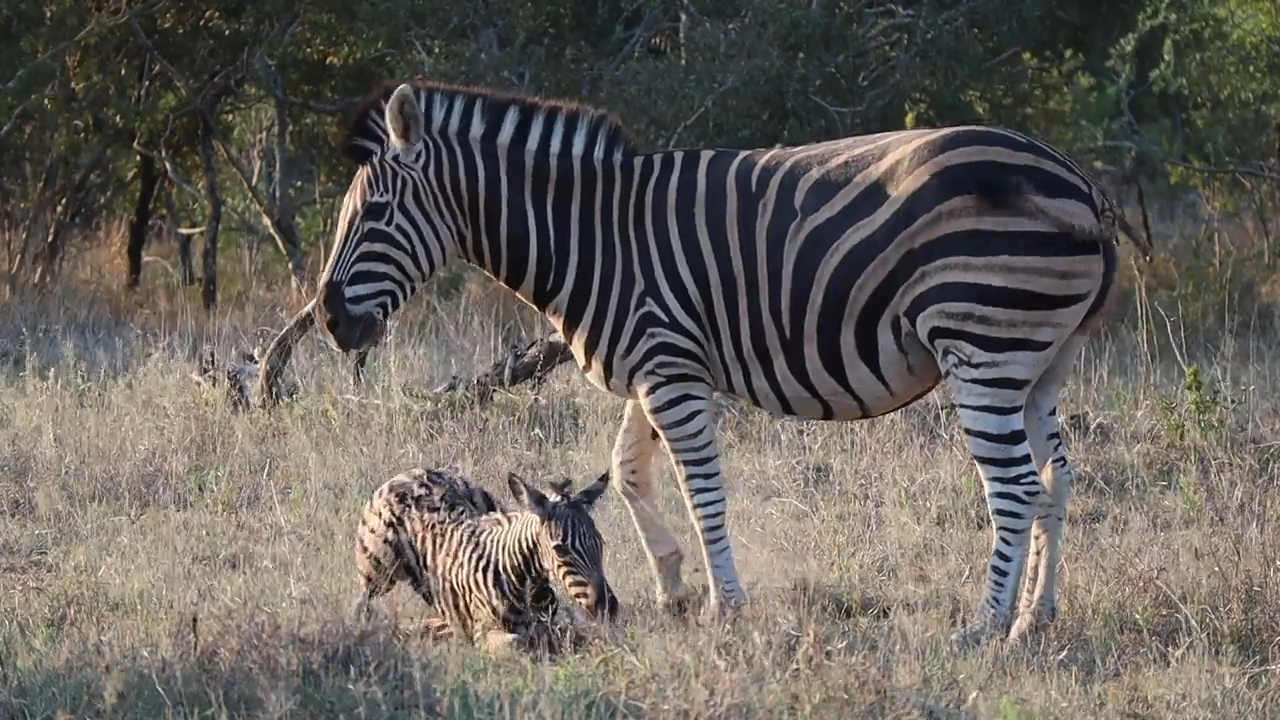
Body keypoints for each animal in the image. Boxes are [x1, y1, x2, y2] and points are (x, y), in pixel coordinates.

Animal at [351, 465, 617, 649]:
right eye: (560, 550)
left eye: (600, 544)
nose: (609, 608)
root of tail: (410, 473)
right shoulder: (486, 629)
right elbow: (516, 642)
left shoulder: (551, 621)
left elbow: (573, 635)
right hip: (377, 571)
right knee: (362, 605)